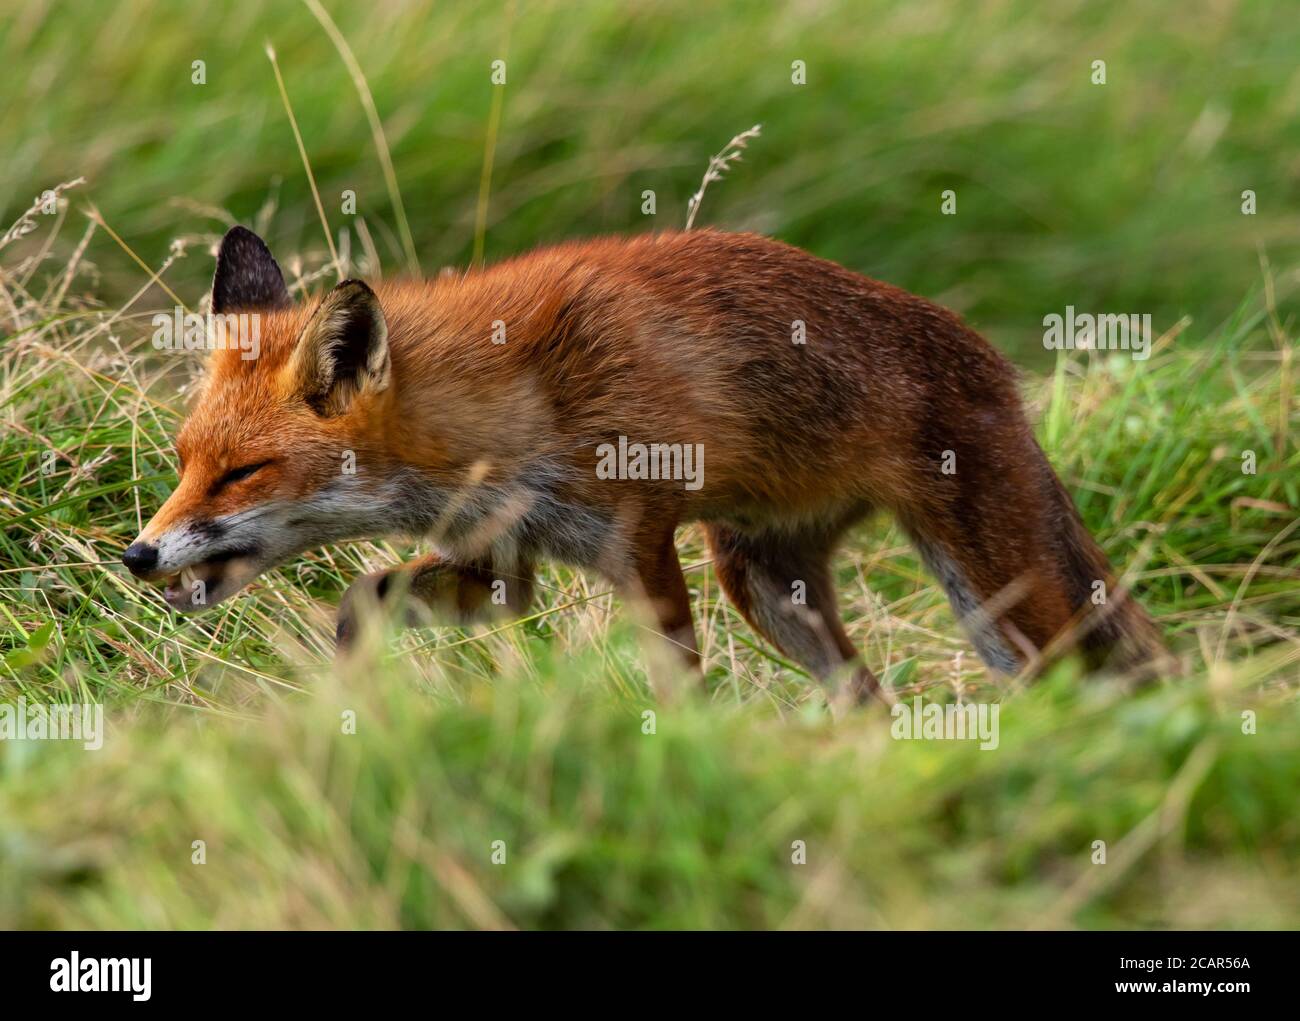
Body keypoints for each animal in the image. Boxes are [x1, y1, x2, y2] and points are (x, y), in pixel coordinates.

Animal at [122, 225, 1174, 698]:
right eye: (184, 459)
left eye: (243, 473)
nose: (138, 553)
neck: (515, 400)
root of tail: (996, 364)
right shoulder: (499, 568)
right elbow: (361, 601)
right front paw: (349, 696)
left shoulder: (641, 546)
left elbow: (675, 680)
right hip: (767, 584)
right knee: (864, 694)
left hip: (999, 600)